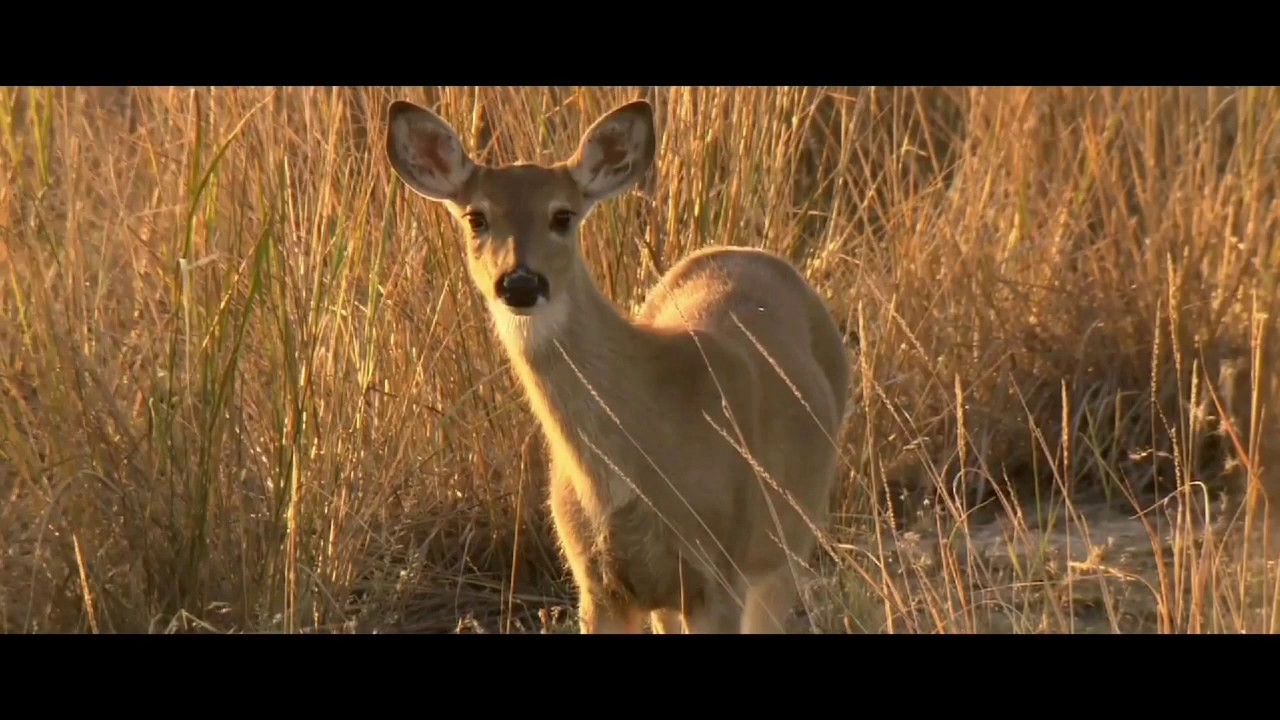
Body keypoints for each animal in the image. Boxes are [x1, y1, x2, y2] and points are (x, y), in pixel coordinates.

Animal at [384, 96, 851, 633]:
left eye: (562, 215)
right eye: (476, 217)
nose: (520, 283)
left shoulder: (720, 570)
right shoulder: (597, 582)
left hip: (786, 545)